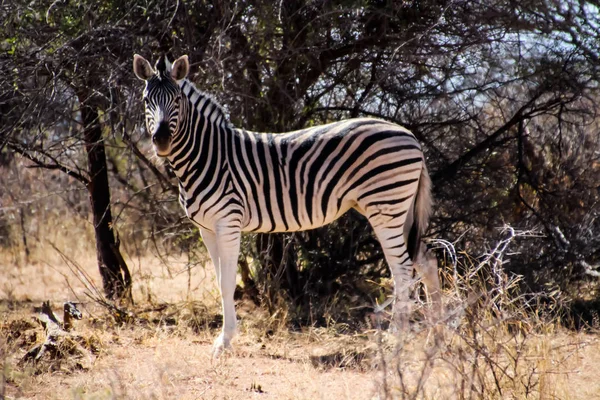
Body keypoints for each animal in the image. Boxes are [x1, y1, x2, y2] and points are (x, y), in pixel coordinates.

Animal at [132, 53, 440, 356]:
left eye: (177, 99)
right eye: (147, 100)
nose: (161, 141)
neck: (208, 156)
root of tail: (409, 135)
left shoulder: (228, 222)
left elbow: (228, 282)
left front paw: (225, 341)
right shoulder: (205, 228)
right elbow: (220, 282)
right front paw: (224, 338)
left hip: (385, 206)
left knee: (403, 269)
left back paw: (396, 337)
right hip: (399, 210)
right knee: (426, 260)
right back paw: (437, 330)